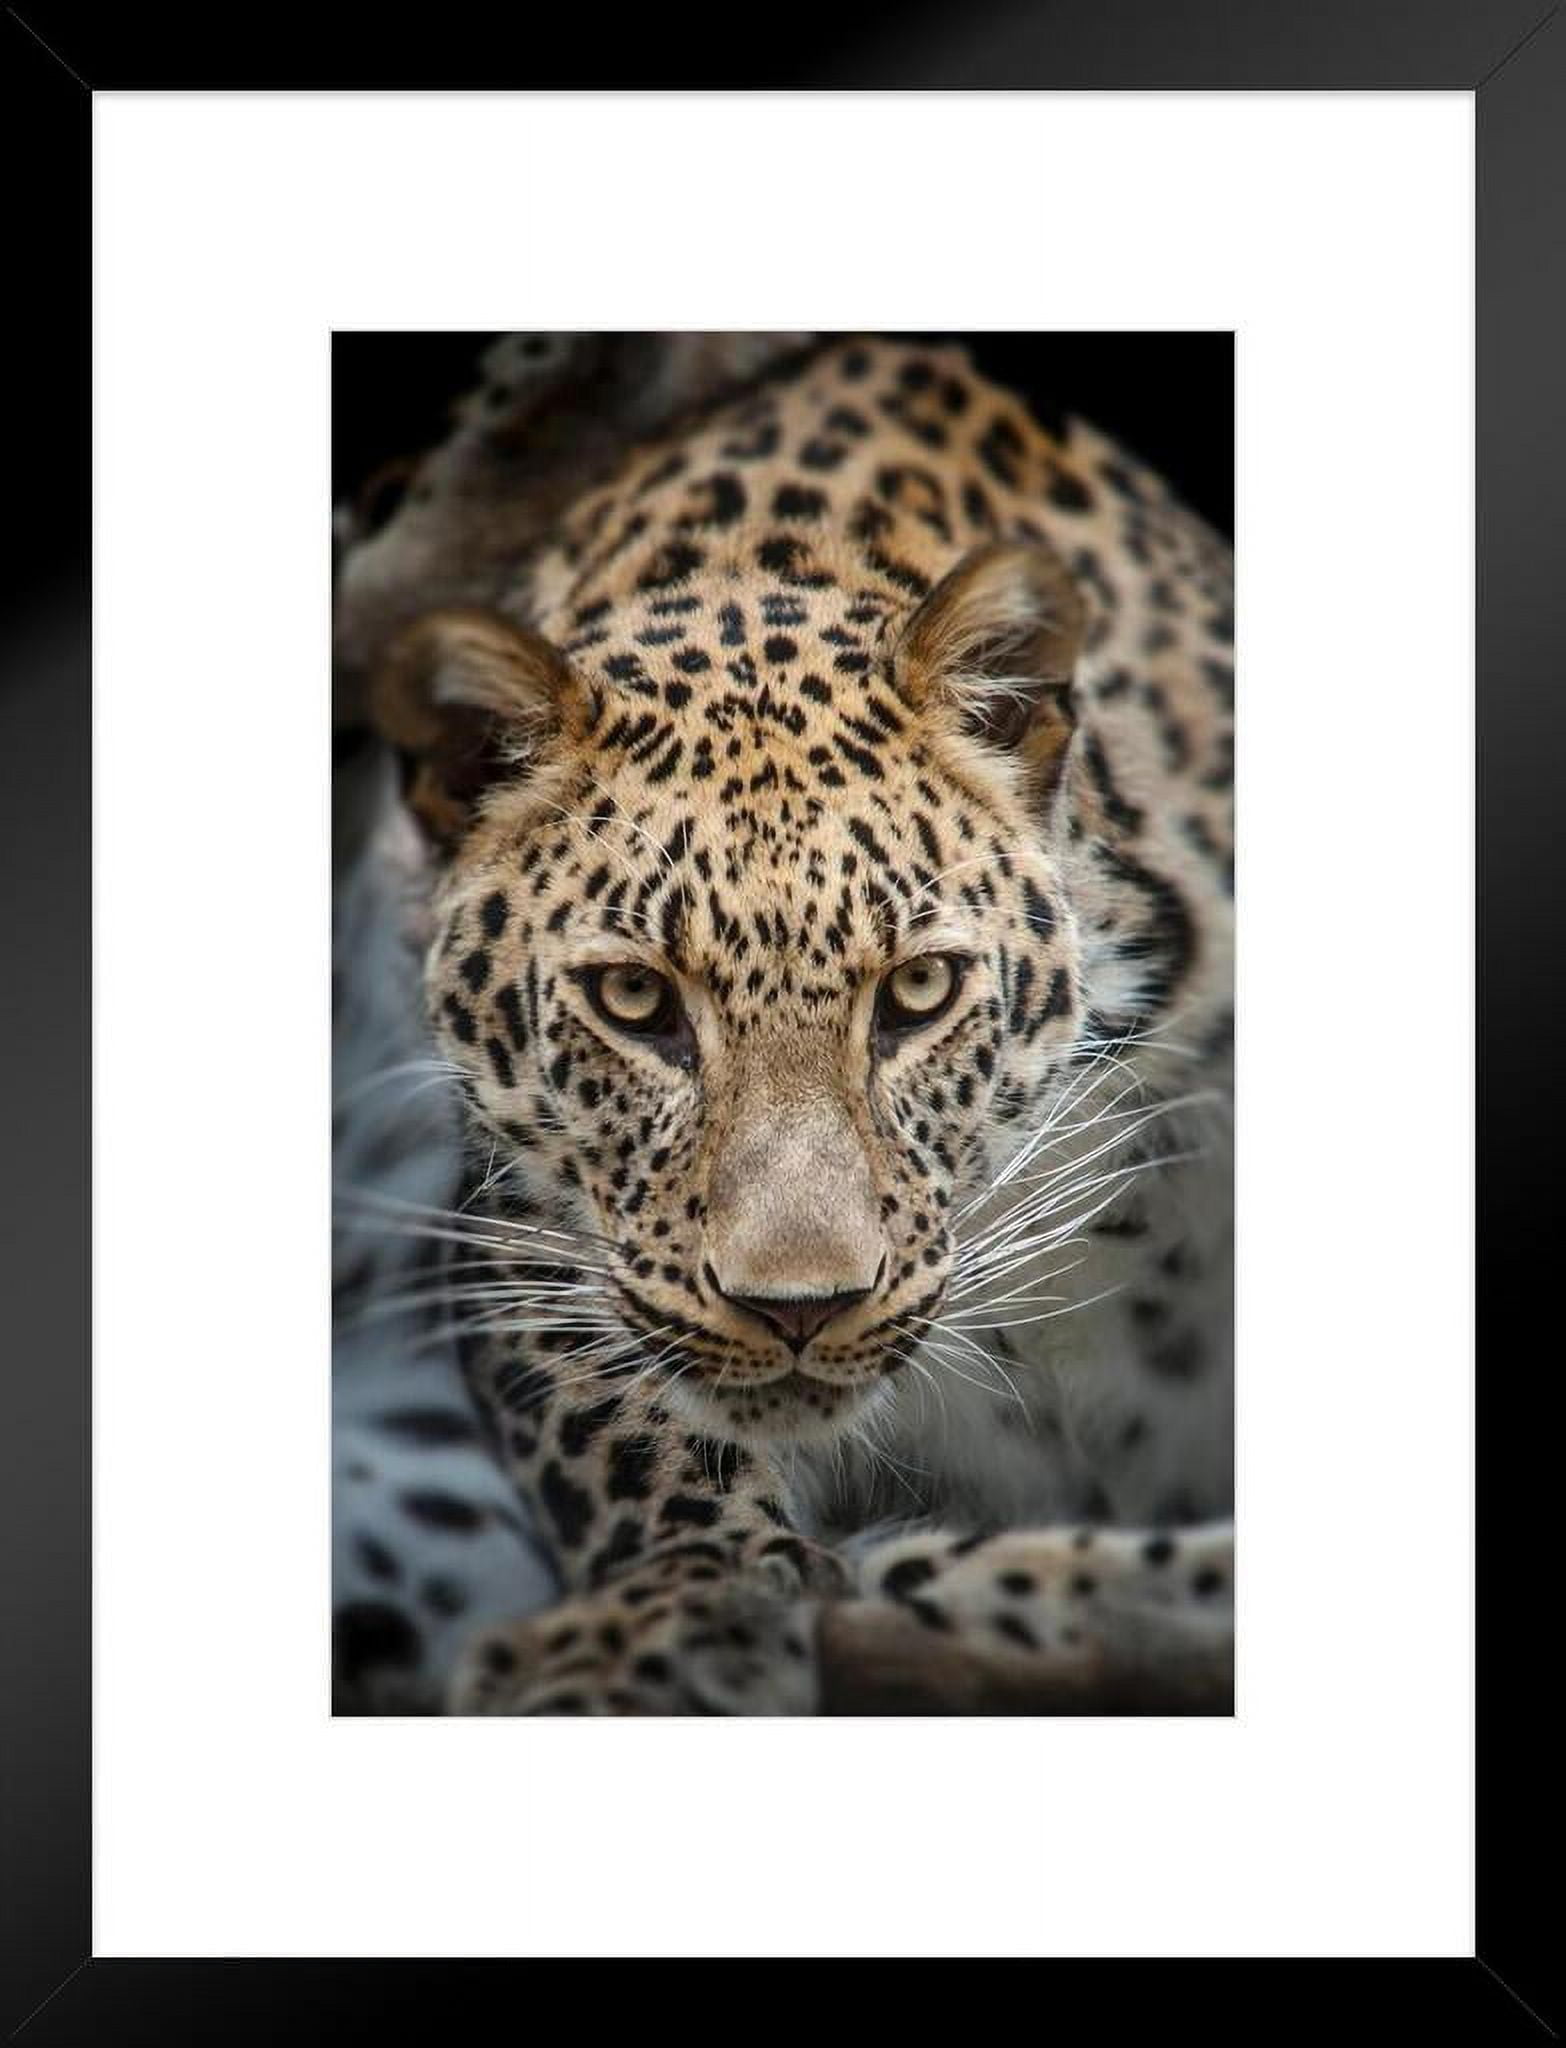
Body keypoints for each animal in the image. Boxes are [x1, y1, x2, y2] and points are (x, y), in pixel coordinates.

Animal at [332, 332, 1234, 1715]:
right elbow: (623, 1428)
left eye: (918, 991)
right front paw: (667, 1618)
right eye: (635, 999)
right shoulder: (517, 1234)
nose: (800, 1309)